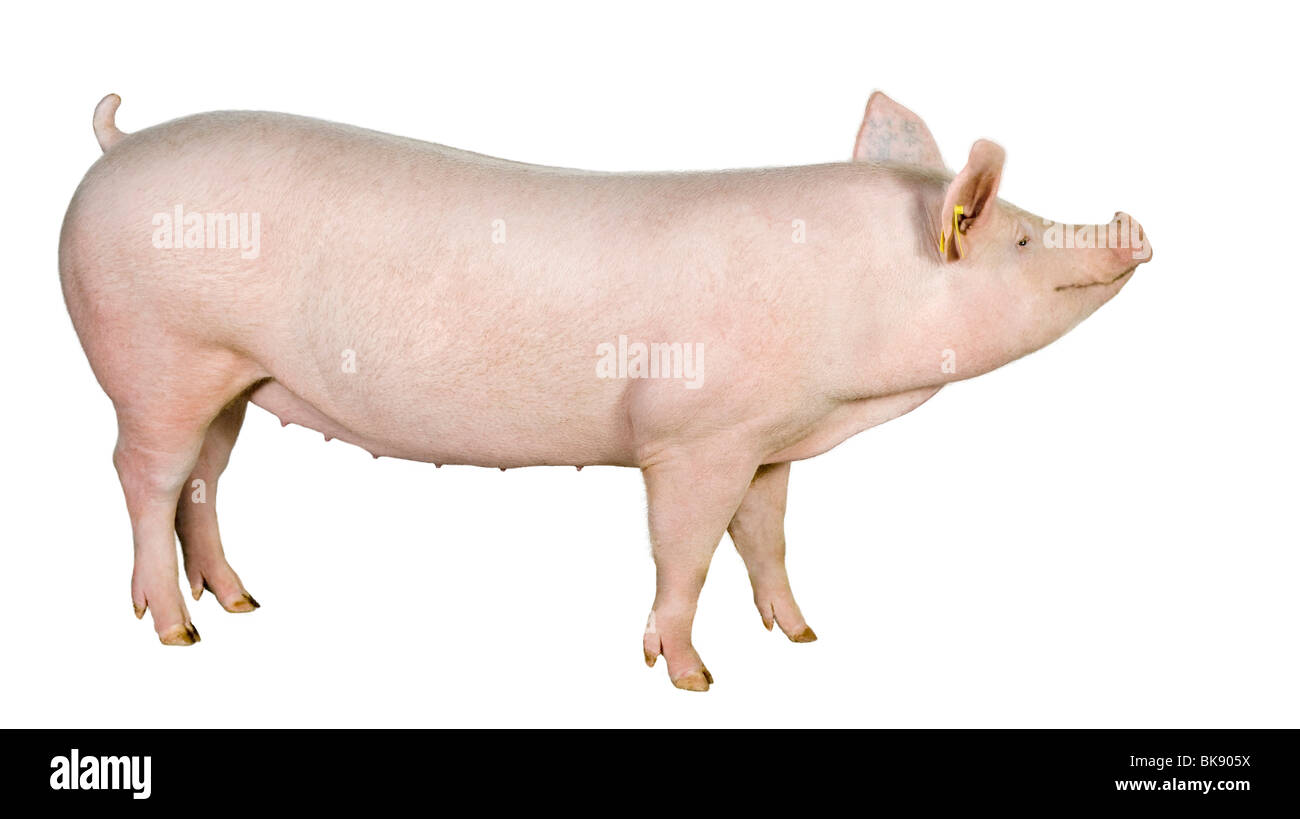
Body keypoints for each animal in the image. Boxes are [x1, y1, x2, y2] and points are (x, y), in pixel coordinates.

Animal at [59, 91, 1149, 690]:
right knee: (143, 477)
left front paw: (803, 634)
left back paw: (242, 603)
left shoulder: (766, 438)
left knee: (202, 480)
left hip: (230, 379)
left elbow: (766, 537)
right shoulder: (691, 434)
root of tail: (119, 148)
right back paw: (179, 632)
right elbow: (686, 550)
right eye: (1019, 237)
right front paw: (694, 678)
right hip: (153, 356)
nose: (1130, 224)